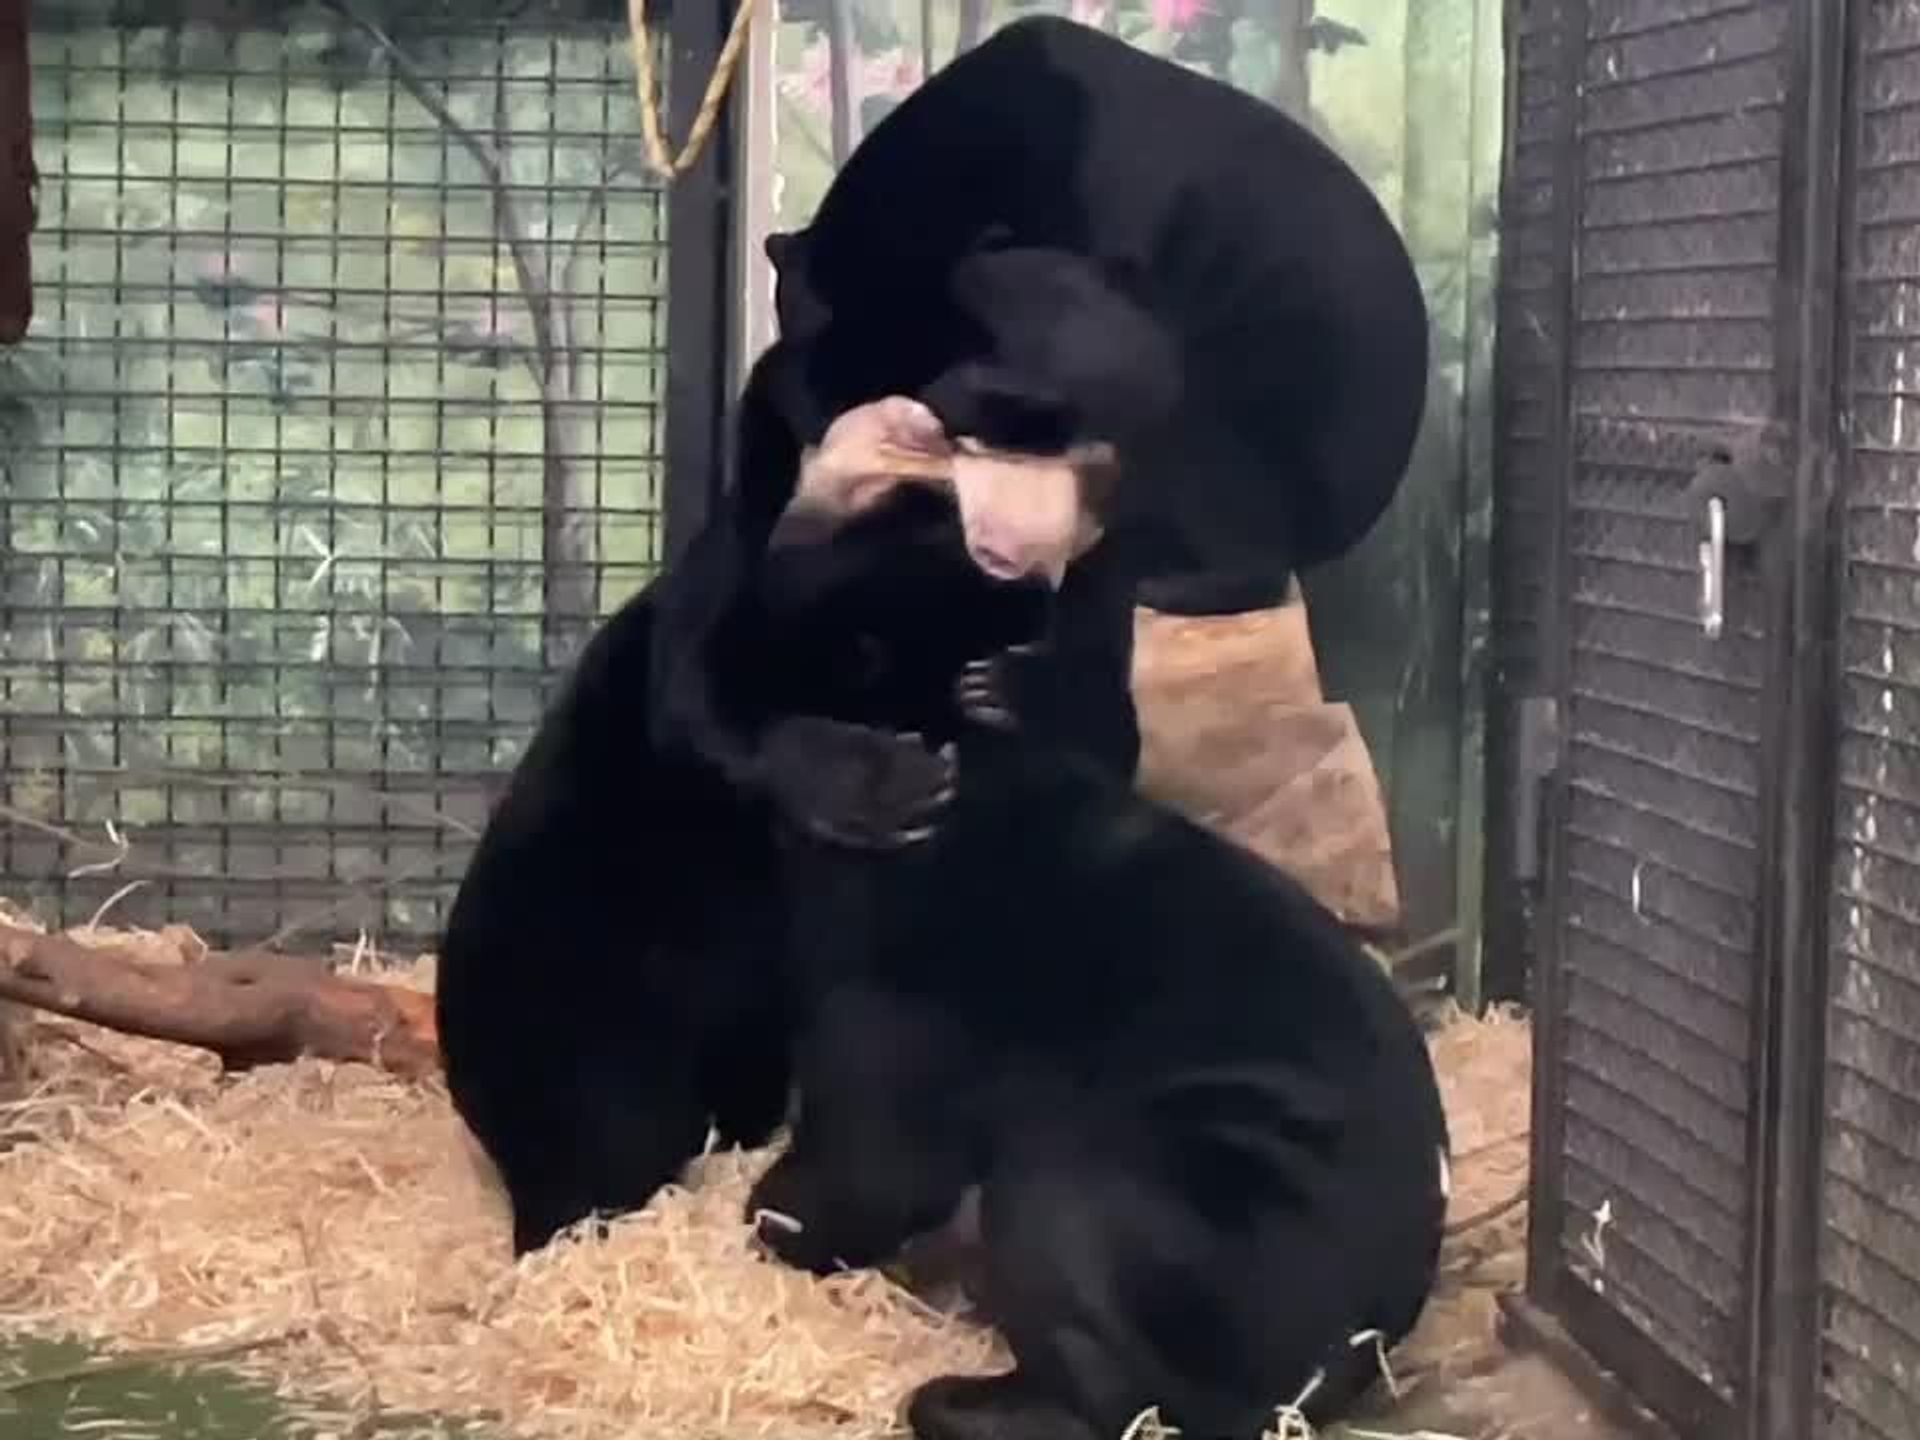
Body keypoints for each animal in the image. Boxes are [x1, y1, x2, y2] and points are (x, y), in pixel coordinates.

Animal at [720, 482, 1451, 1440]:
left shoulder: (879, 1036)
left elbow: (862, 1166)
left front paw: (776, 1219)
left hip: (1082, 1184)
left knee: (1114, 1390)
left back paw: (953, 1401)